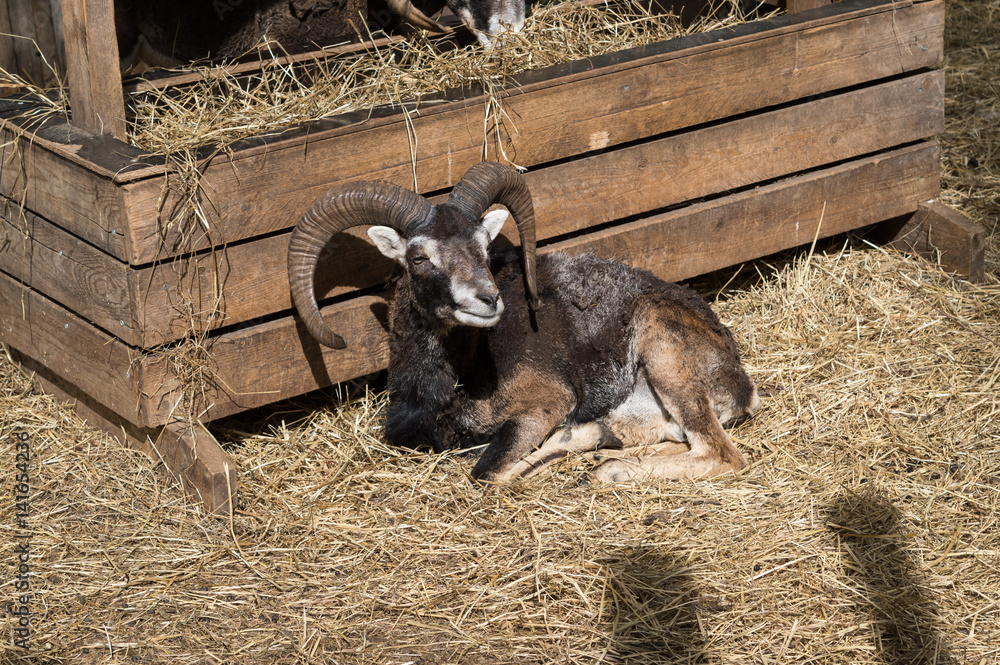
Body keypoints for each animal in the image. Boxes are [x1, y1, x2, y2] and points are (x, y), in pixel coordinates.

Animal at [287, 162, 760, 483]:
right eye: (418, 257)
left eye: (484, 246)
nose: (487, 299)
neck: (457, 380)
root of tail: (740, 384)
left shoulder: (545, 402)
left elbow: (488, 472)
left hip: (665, 356)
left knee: (721, 455)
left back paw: (607, 467)